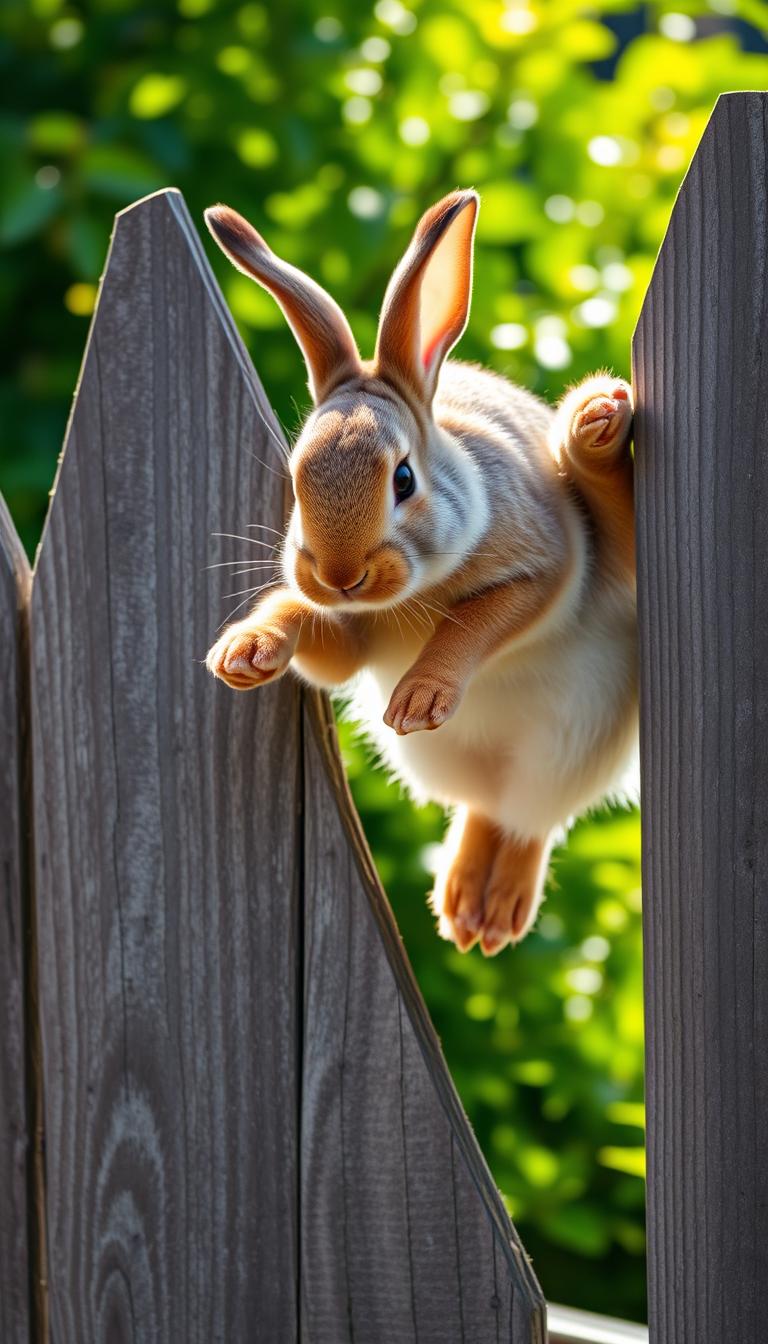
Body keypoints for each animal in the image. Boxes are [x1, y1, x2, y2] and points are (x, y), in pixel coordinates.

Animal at [205, 190, 637, 956]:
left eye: (402, 479)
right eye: (296, 483)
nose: (341, 575)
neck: (411, 594)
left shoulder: (541, 571)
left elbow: (475, 621)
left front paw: (419, 700)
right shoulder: (348, 635)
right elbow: (306, 625)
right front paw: (246, 653)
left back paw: (594, 424)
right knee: (491, 821)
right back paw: (471, 913)